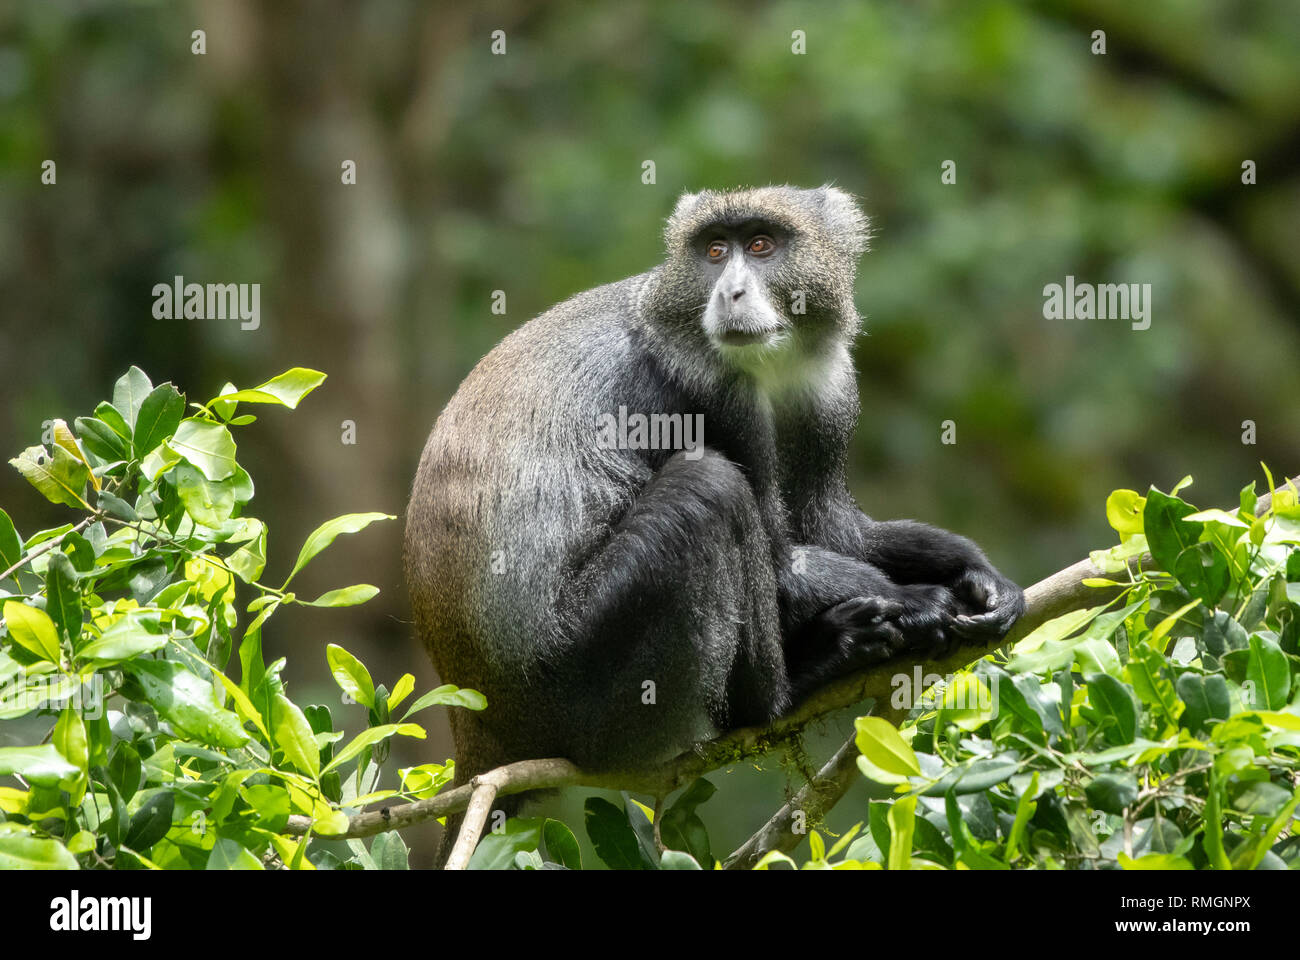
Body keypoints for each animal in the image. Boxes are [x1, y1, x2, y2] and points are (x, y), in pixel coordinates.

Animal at [403, 184, 1025, 861]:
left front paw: (978, 576)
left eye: (761, 245)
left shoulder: (829, 388)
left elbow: (833, 529)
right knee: (711, 490)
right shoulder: (701, 395)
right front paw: (919, 603)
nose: (731, 292)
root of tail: (483, 735)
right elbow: (782, 560)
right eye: (714, 251)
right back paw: (784, 692)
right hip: (573, 682)